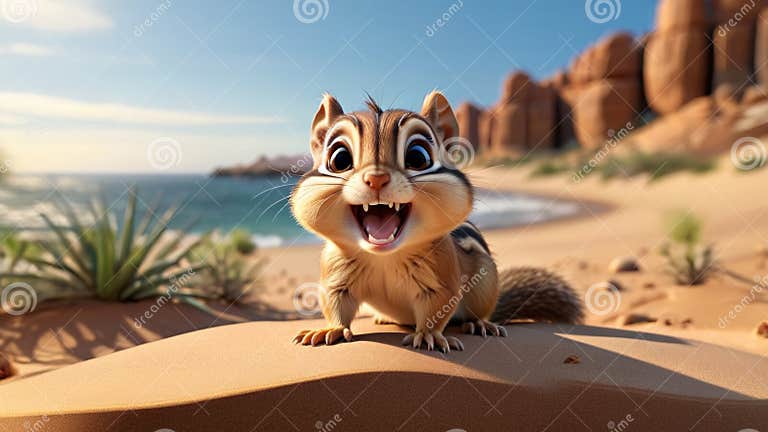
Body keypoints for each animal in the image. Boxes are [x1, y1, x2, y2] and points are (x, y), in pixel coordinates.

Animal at [290, 91, 583, 352]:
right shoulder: (336, 275)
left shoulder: (441, 278)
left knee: (478, 313)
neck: (384, 257)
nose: (376, 178)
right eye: (339, 158)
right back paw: (383, 317)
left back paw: (480, 324)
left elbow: (436, 309)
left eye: (418, 156)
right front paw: (330, 329)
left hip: (485, 285)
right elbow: (335, 305)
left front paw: (429, 335)